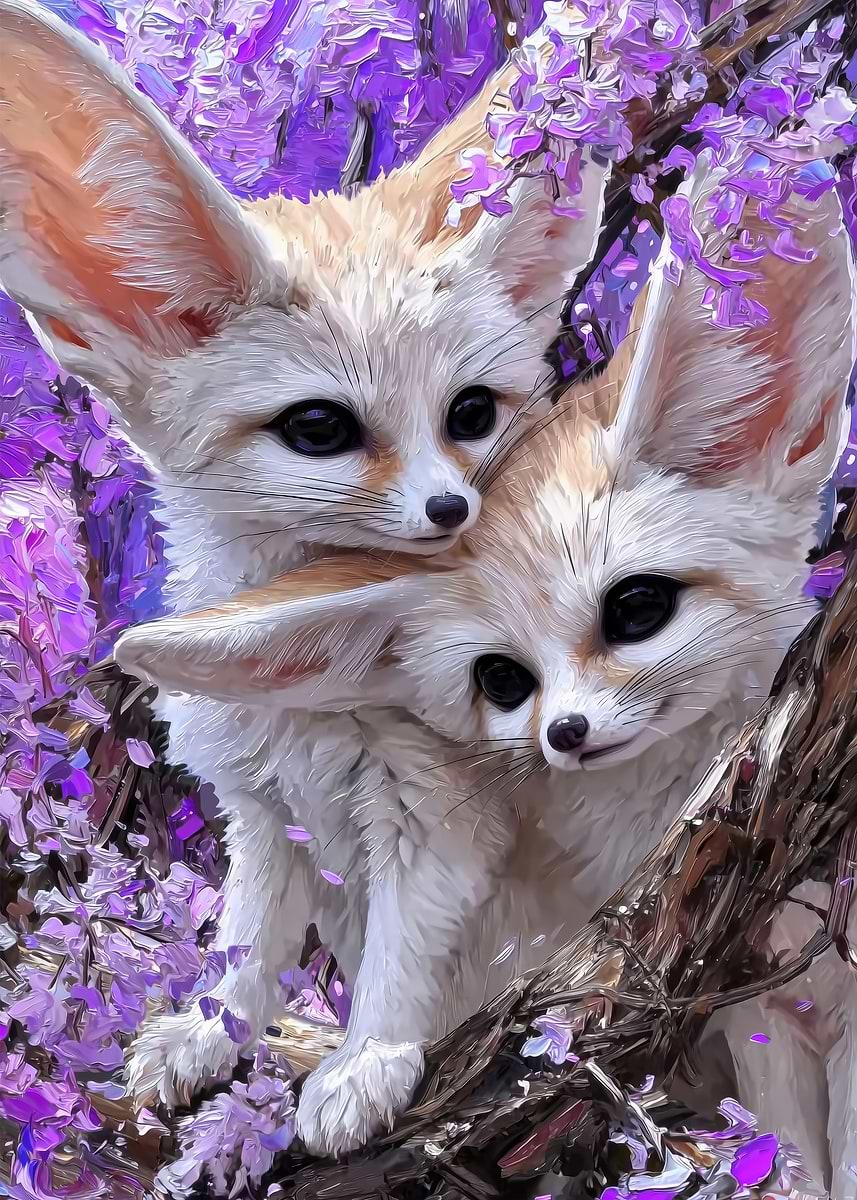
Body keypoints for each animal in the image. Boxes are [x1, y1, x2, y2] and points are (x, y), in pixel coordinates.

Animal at [0, 0, 618, 1155]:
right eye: (320, 429)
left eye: (472, 413)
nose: (450, 511)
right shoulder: (261, 809)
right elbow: (246, 940)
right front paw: (212, 1032)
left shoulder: (439, 824)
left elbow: (401, 960)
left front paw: (365, 1062)